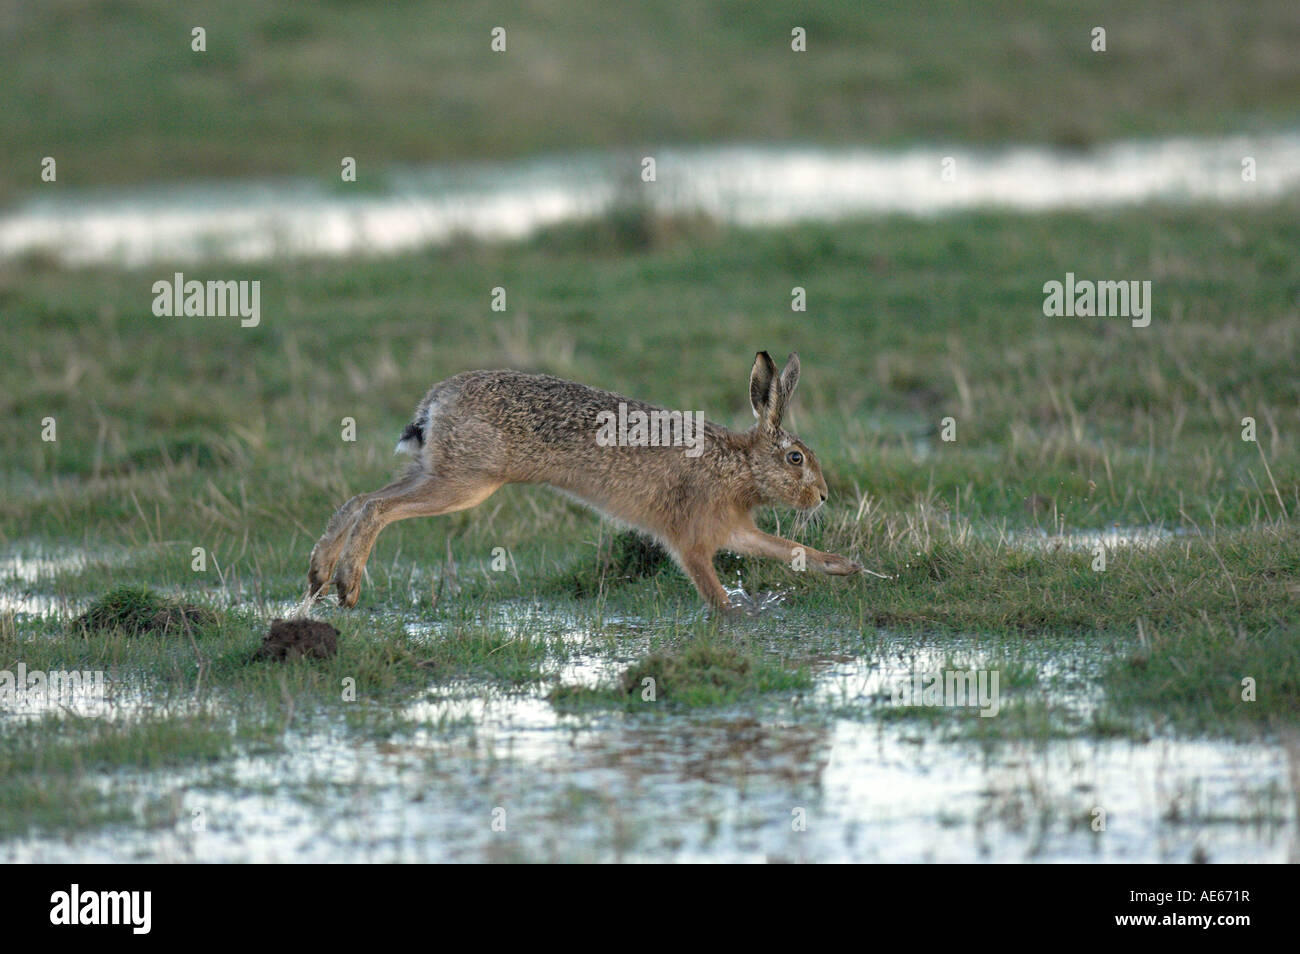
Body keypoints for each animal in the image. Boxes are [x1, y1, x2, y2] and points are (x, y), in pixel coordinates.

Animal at [308, 351, 863, 610]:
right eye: (795, 458)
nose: (822, 495)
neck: (739, 465)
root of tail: (436, 401)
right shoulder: (692, 538)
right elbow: (711, 588)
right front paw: (735, 617)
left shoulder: (735, 530)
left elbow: (790, 549)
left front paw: (846, 567)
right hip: (464, 484)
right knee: (378, 508)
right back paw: (347, 585)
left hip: (438, 470)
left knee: (360, 498)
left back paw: (319, 575)